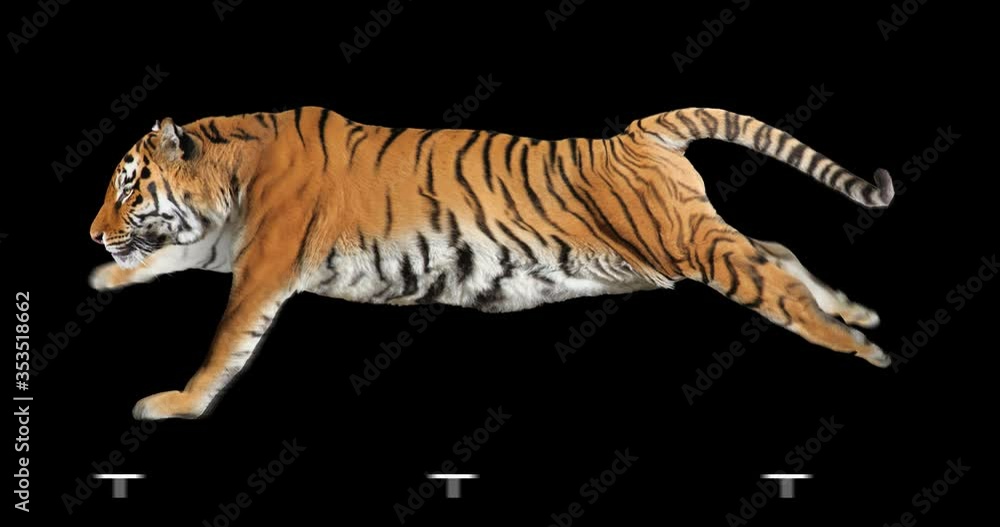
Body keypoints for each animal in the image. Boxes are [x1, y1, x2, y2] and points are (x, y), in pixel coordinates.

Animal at [89, 106, 894, 420]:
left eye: (127, 187)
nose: (93, 236)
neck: (232, 173)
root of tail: (640, 131)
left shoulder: (263, 265)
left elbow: (224, 343)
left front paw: (174, 404)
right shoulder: (226, 243)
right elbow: (170, 258)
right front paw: (109, 276)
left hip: (690, 245)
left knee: (776, 284)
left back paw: (862, 345)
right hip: (683, 239)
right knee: (779, 250)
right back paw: (856, 309)